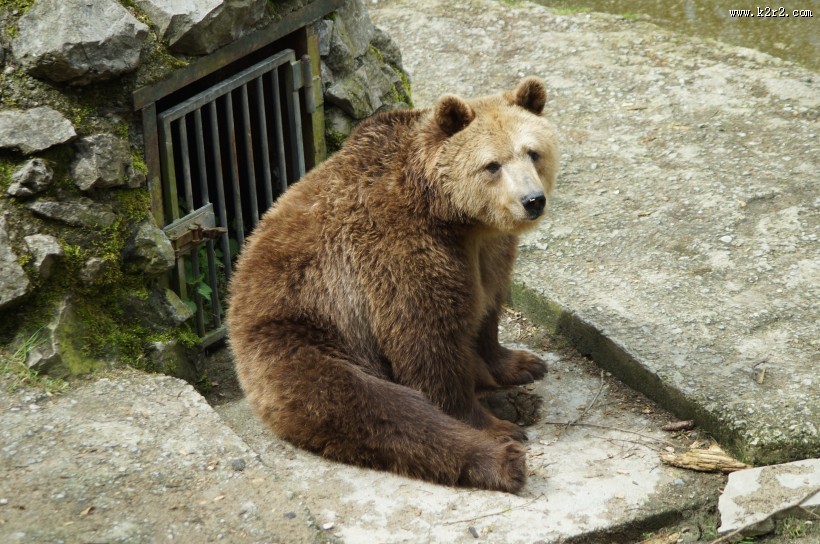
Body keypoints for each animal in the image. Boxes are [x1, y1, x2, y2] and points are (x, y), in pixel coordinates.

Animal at [227, 77, 558, 493]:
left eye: (532, 152)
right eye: (492, 165)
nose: (532, 201)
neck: (455, 217)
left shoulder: (491, 251)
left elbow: (487, 309)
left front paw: (521, 363)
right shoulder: (399, 251)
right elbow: (428, 345)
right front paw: (486, 422)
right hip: (302, 338)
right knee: (382, 410)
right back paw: (502, 454)